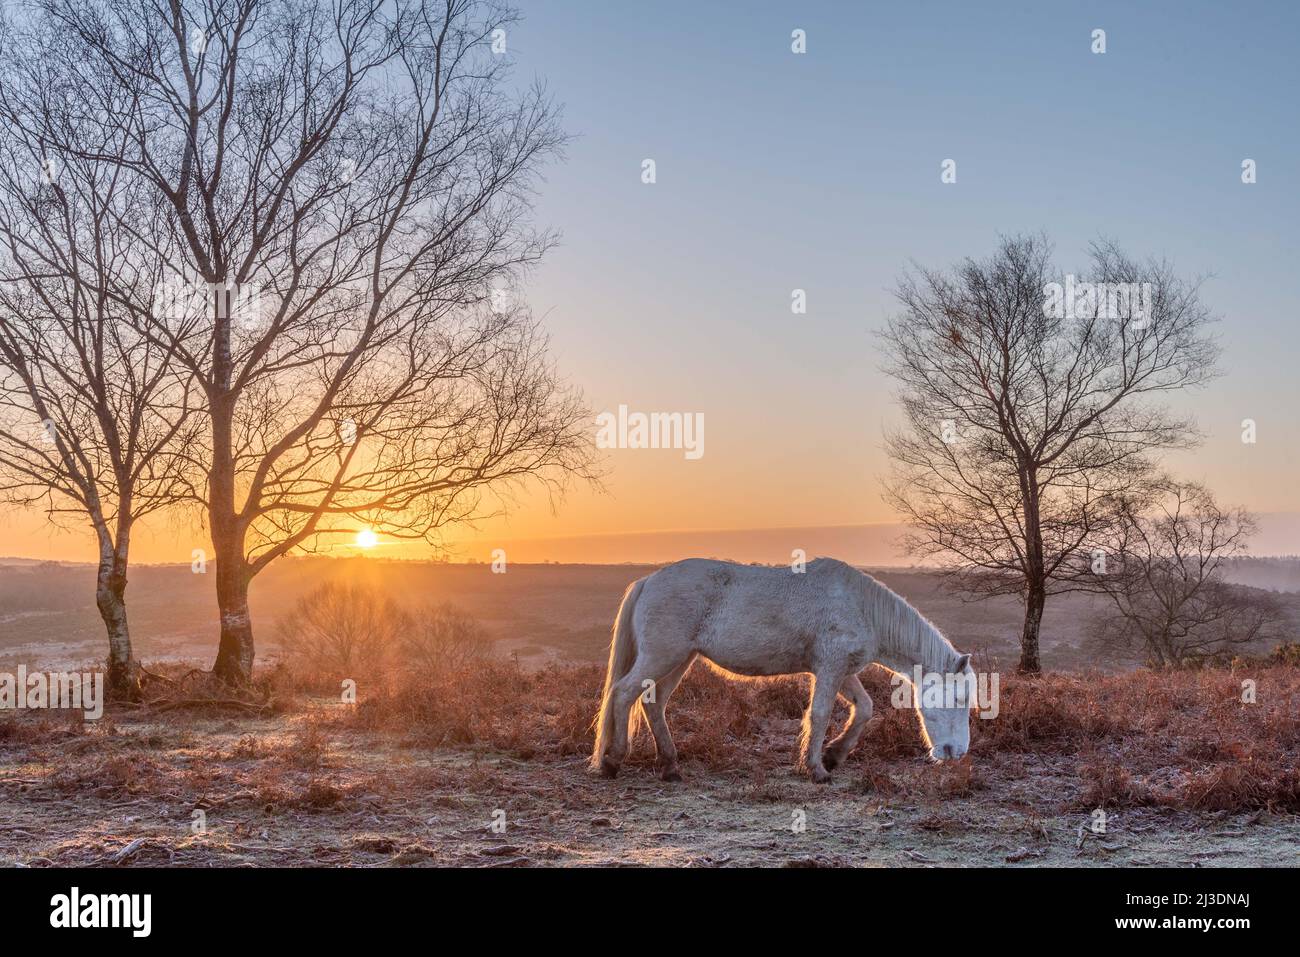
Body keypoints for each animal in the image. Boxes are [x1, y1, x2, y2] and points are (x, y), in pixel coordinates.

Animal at [590, 557, 975, 782]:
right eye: (958, 699)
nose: (955, 753)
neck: (862, 608)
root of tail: (649, 581)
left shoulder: (841, 670)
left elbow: (864, 708)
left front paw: (834, 754)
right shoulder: (830, 668)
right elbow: (819, 714)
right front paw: (816, 768)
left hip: (678, 660)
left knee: (653, 704)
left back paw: (670, 766)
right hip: (663, 656)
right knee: (623, 694)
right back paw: (613, 761)